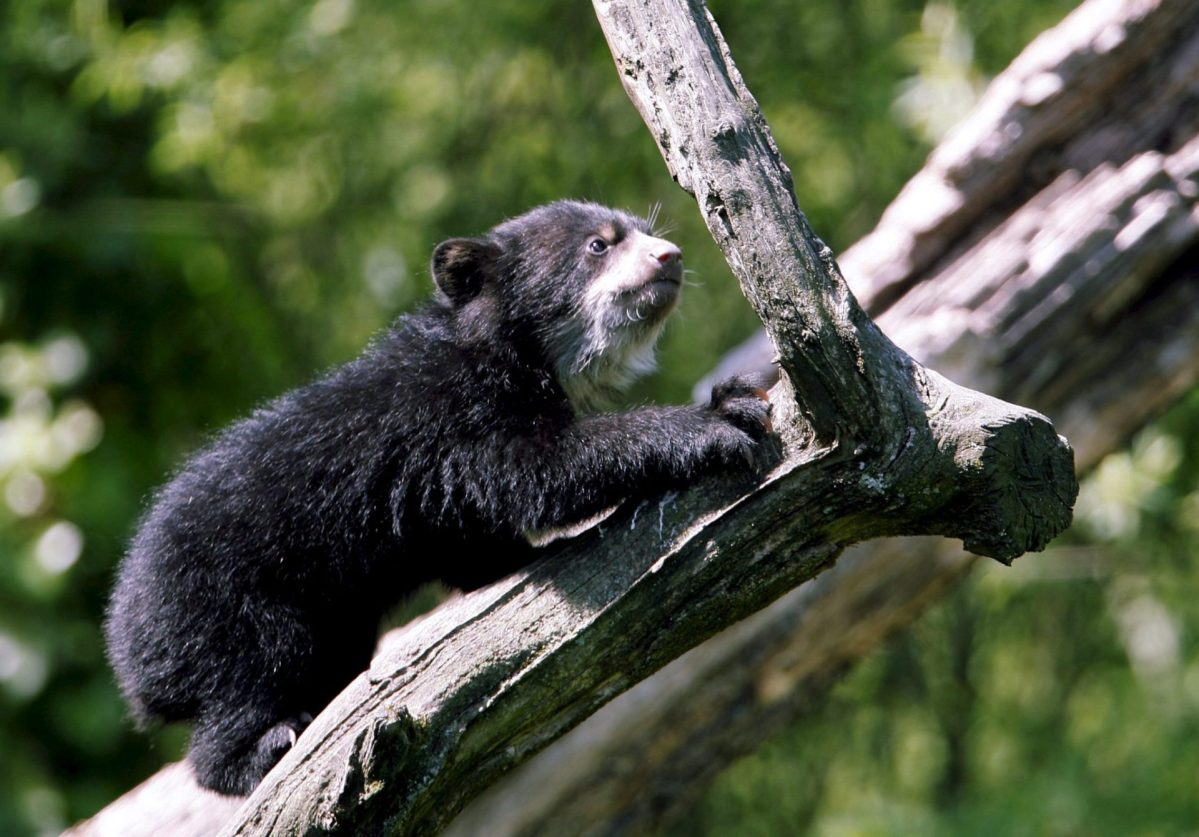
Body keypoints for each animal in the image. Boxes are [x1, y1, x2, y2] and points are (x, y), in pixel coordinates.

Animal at [103, 200, 773, 795]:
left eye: (641, 228)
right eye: (598, 245)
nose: (672, 255)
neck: (512, 353)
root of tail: (129, 657)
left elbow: (473, 537)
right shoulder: (451, 423)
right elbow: (535, 473)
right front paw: (722, 418)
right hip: (233, 615)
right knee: (246, 692)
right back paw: (265, 746)